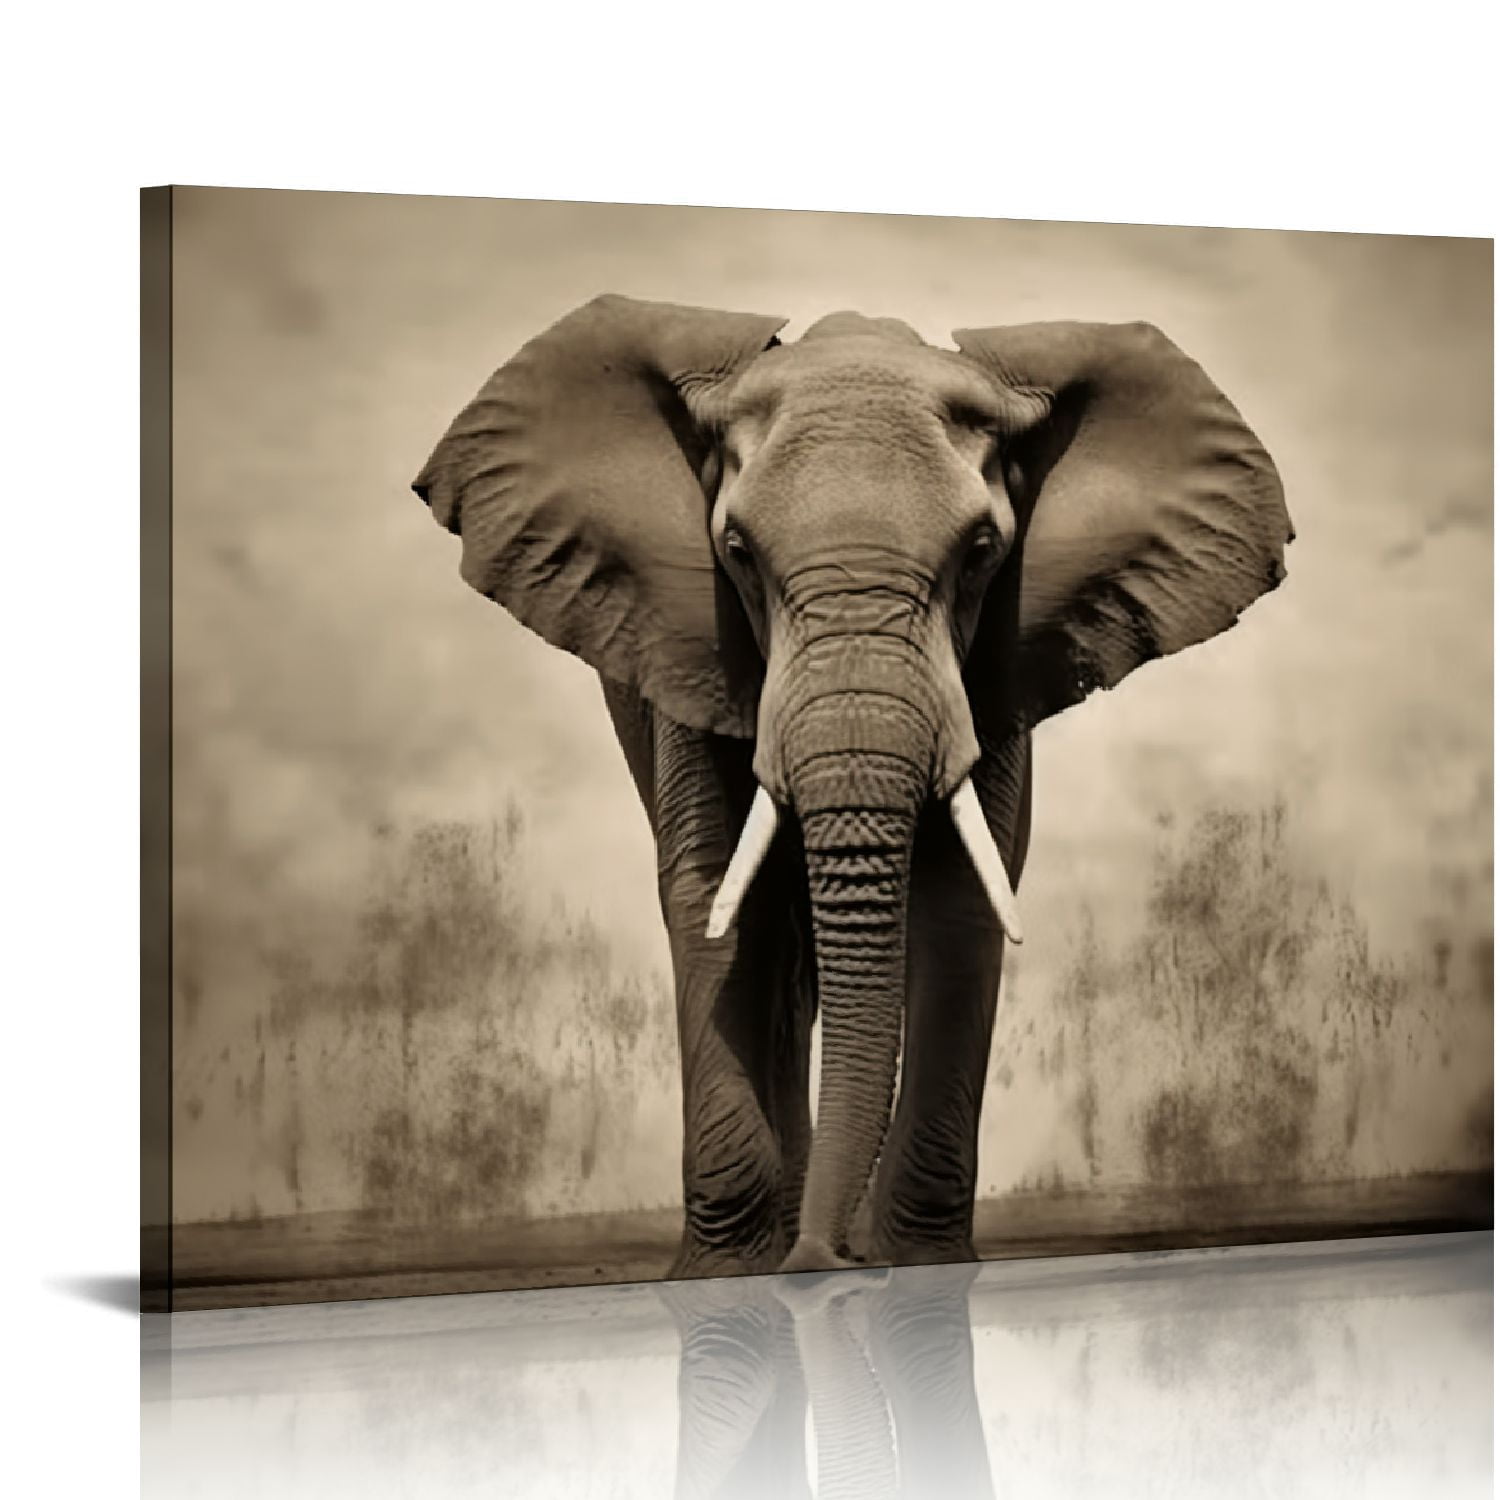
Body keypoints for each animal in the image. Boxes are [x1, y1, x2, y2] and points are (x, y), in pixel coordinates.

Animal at [412, 294, 1291, 1280]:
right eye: (736, 550)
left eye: (982, 550)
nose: (824, 1261)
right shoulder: (692, 645)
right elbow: (716, 897)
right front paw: (725, 1275)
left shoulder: (993, 670)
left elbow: (958, 900)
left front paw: (919, 1264)